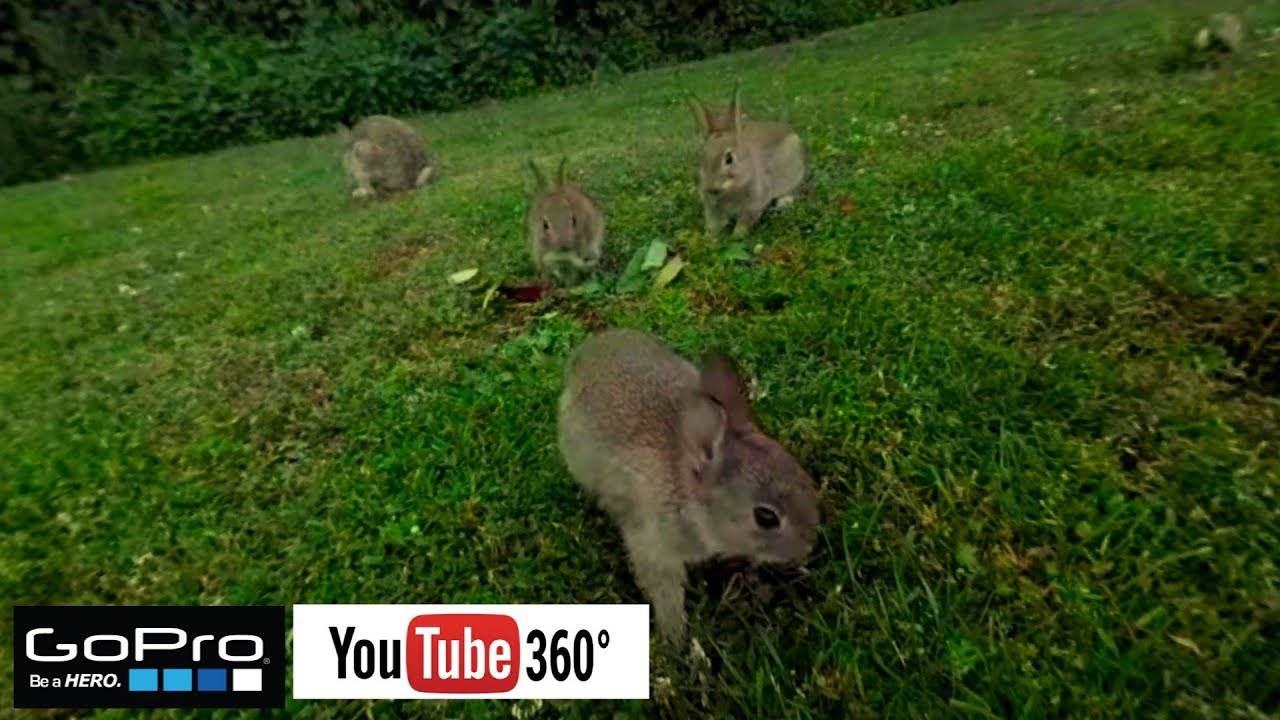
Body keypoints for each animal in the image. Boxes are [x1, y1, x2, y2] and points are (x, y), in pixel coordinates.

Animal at [557, 328, 821, 646]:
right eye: (766, 517)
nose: (808, 546)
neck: (691, 494)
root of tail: (581, 358)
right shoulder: (652, 544)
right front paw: (676, 638)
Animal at [690, 87, 807, 240]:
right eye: (702, 157)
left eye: (729, 158)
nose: (711, 189)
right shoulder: (713, 209)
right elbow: (714, 224)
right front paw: (710, 238)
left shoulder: (753, 205)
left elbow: (744, 222)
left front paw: (736, 236)